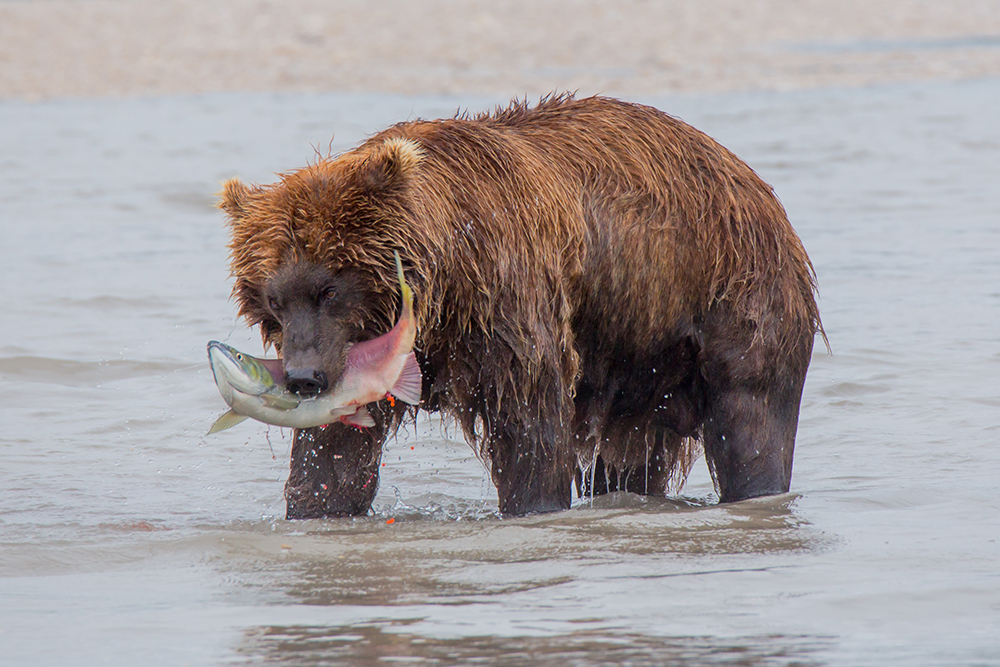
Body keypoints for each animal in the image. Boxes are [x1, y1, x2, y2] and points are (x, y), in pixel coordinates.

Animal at [219, 94, 823, 519]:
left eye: (329, 288)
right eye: (274, 296)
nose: (304, 378)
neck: (443, 296)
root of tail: (754, 181)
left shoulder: (508, 299)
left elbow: (531, 428)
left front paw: (531, 506)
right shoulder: (369, 362)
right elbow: (334, 452)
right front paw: (316, 507)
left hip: (735, 298)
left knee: (752, 423)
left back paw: (758, 494)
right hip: (642, 366)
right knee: (631, 461)